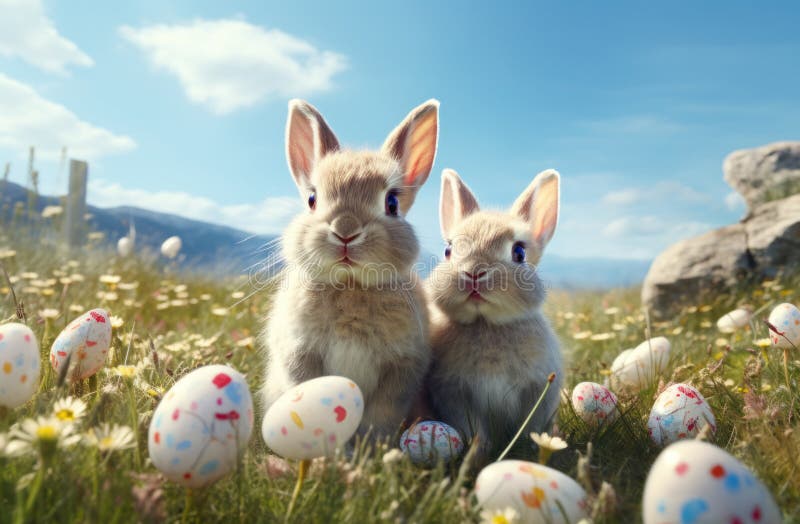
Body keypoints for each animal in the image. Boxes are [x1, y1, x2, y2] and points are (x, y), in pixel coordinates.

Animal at [261, 98, 439, 440]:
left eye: (392, 203)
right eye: (312, 199)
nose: (345, 231)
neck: (351, 284)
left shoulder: (401, 369)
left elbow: (380, 413)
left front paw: (368, 445)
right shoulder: (299, 354)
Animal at [425, 167, 563, 461]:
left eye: (519, 252)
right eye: (448, 250)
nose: (473, 273)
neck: (486, 323)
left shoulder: (538, 391)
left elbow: (530, 427)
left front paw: (528, 447)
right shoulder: (455, 395)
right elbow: (474, 429)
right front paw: (478, 450)